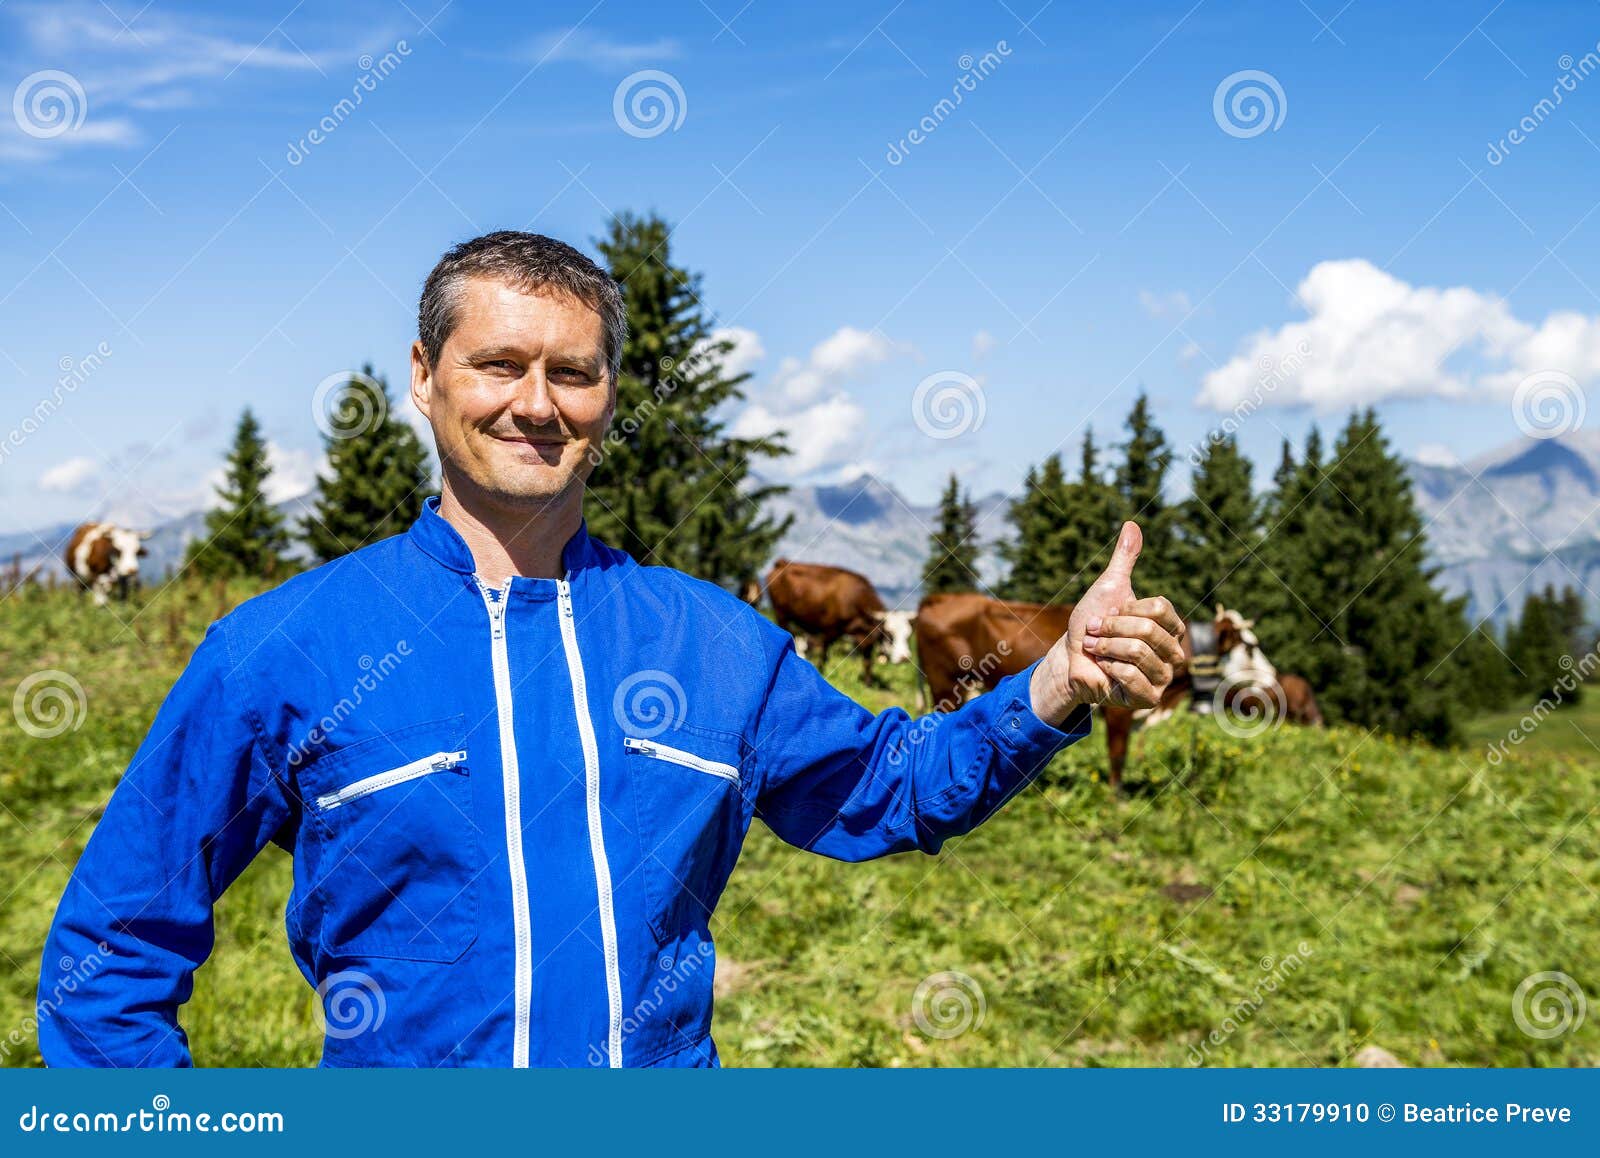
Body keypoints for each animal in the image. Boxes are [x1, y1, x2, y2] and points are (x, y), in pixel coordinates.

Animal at [763, 558, 912, 685]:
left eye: (907, 635)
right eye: (890, 635)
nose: (904, 658)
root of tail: (782, 562)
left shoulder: (867, 639)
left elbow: (868, 661)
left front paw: (868, 682)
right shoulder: (830, 629)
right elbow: (824, 654)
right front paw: (821, 671)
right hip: (781, 614)